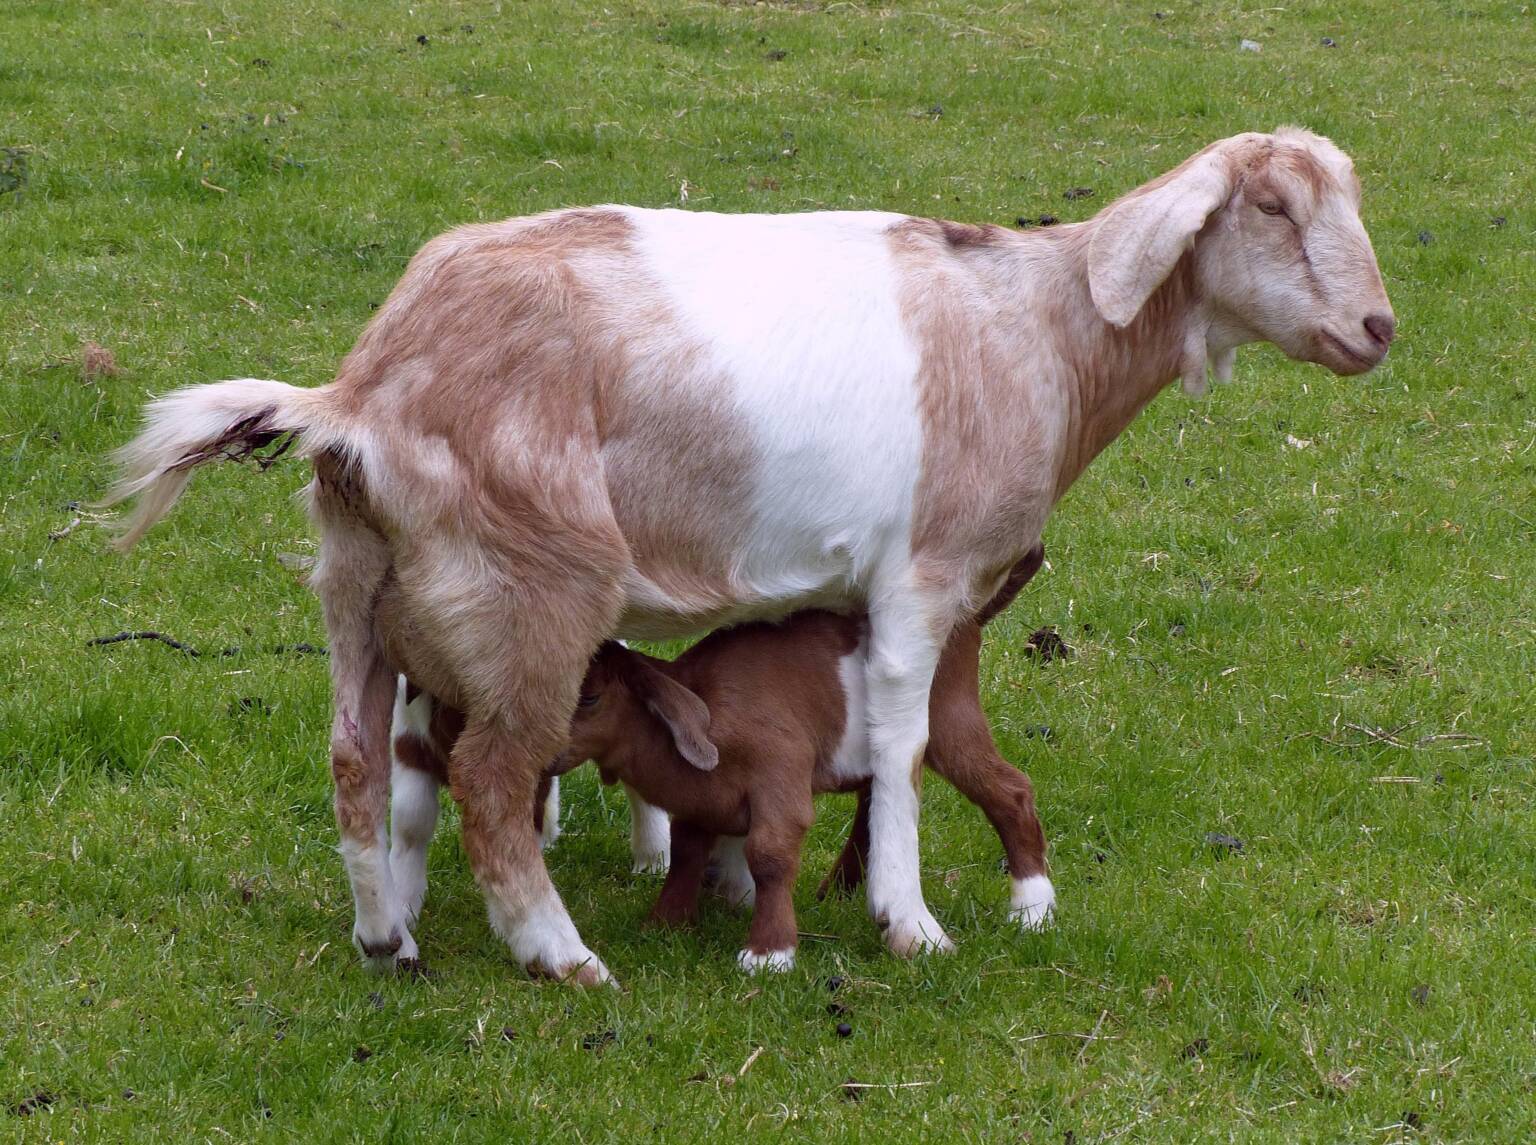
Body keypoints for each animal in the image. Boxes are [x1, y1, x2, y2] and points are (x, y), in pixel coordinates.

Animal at [108, 128, 1394, 985]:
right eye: (1271, 206)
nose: (1377, 329)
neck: (1042, 334)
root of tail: (361, 393)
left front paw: (728, 877)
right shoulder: (921, 575)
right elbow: (903, 741)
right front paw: (906, 920)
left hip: (365, 588)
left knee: (357, 758)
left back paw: (389, 935)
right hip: (531, 586)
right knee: (489, 777)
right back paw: (560, 953)